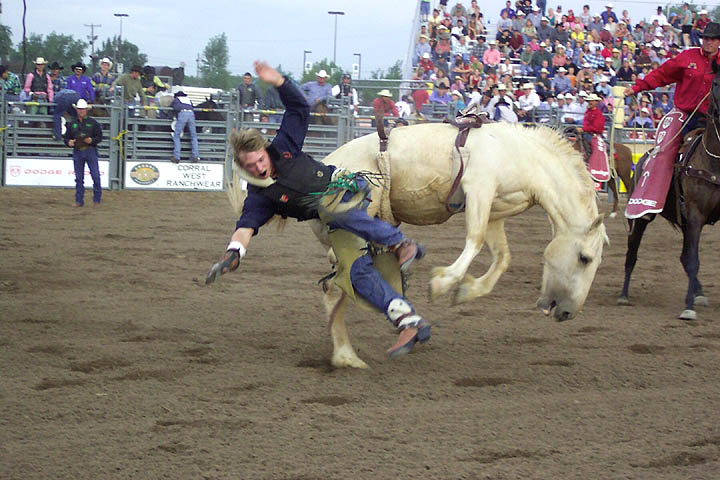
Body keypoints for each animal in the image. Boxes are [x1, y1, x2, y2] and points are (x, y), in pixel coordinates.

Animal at [311, 122, 608, 368]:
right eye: (584, 258)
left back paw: (347, 352)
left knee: (339, 286)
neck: (523, 156)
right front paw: (441, 283)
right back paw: (346, 353)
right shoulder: (478, 188)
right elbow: (475, 240)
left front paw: (468, 291)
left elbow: (502, 257)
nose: (568, 312)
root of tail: (327, 163)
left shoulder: (496, 210)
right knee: (337, 285)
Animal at [618, 65, 720, 321]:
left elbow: (690, 259)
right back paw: (623, 294)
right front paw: (688, 308)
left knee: (683, 256)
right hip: (641, 218)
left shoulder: (692, 220)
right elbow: (694, 261)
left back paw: (699, 293)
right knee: (632, 251)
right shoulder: (695, 216)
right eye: (716, 83)